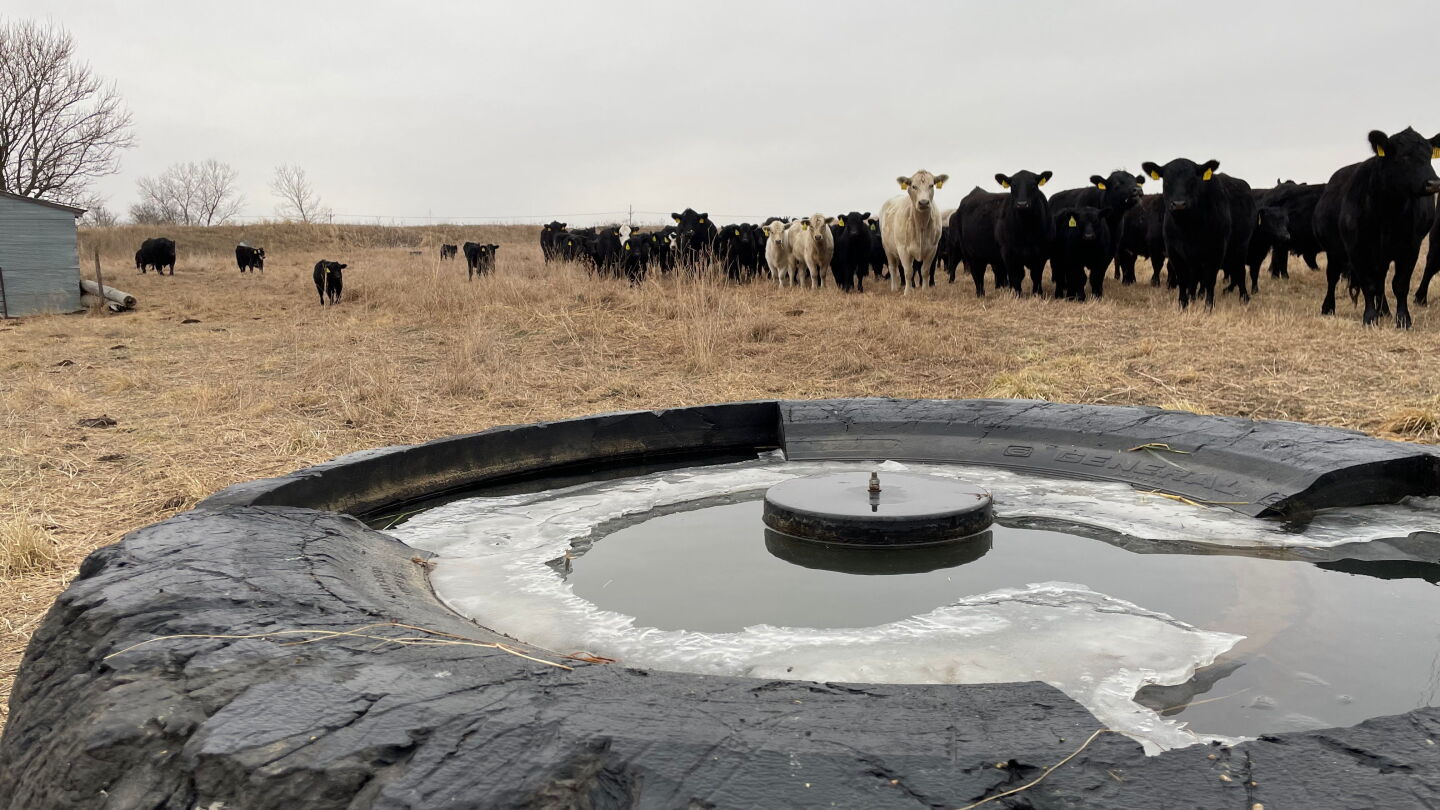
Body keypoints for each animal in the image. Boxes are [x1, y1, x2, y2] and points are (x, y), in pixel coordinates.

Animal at [1139, 158, 1255, 309]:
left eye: (1193, 180)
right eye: (1167, 181)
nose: (1179, 204)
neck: (1188, 229)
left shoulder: (1216, 250)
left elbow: (1210, 279)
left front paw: (1208, 306)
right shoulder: (1174, 251)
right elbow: (1183, 279)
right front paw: (1183, 304)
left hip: (1241, 246)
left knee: (1239, 271)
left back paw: (1244, 297)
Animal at [1316, 127, 1440, 328]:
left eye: (1430, 155)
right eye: (1405, 156)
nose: (1434, 183)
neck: (1388, 213)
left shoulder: (1410, 247)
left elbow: (1400, 285)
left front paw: (1403, 319)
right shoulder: (1357, 249)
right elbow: (1368, 284)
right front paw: (1369, 318)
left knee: (1380, 281)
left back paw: (1385, 311)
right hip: (1334, 251)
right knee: (1332, 277)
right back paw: (1328, 308)